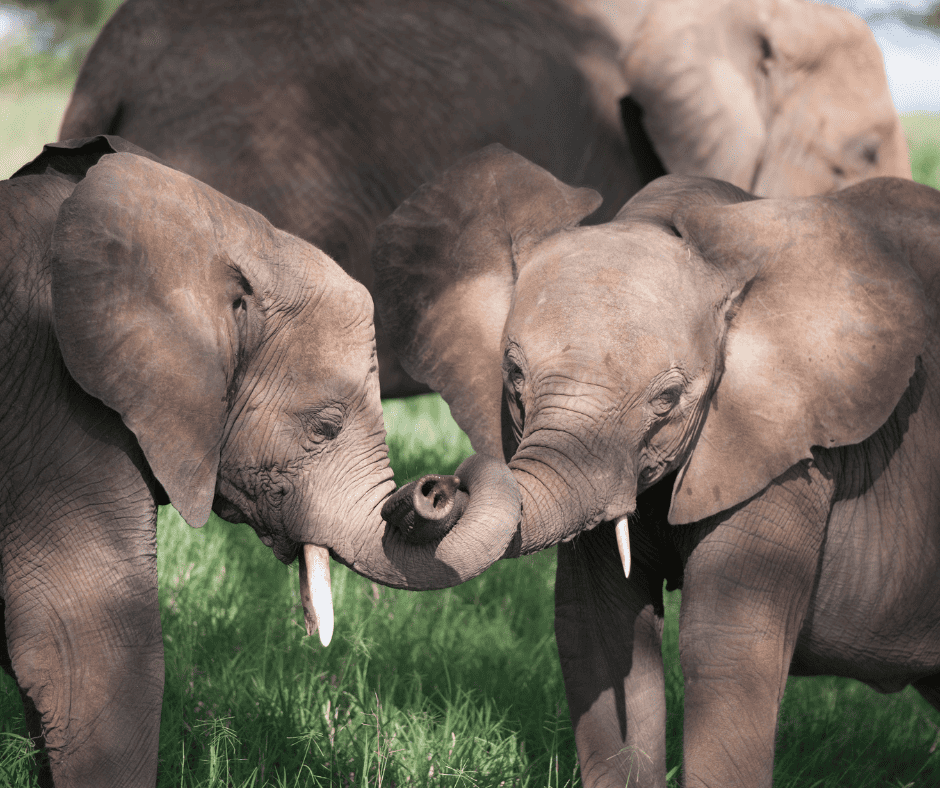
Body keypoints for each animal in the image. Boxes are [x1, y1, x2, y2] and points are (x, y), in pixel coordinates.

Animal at [370, 144, 940, 787]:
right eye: (513, 375)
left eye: (667, 400)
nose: (434, 488)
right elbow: (601, 630)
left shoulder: (787, 449)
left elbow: (726, 643)